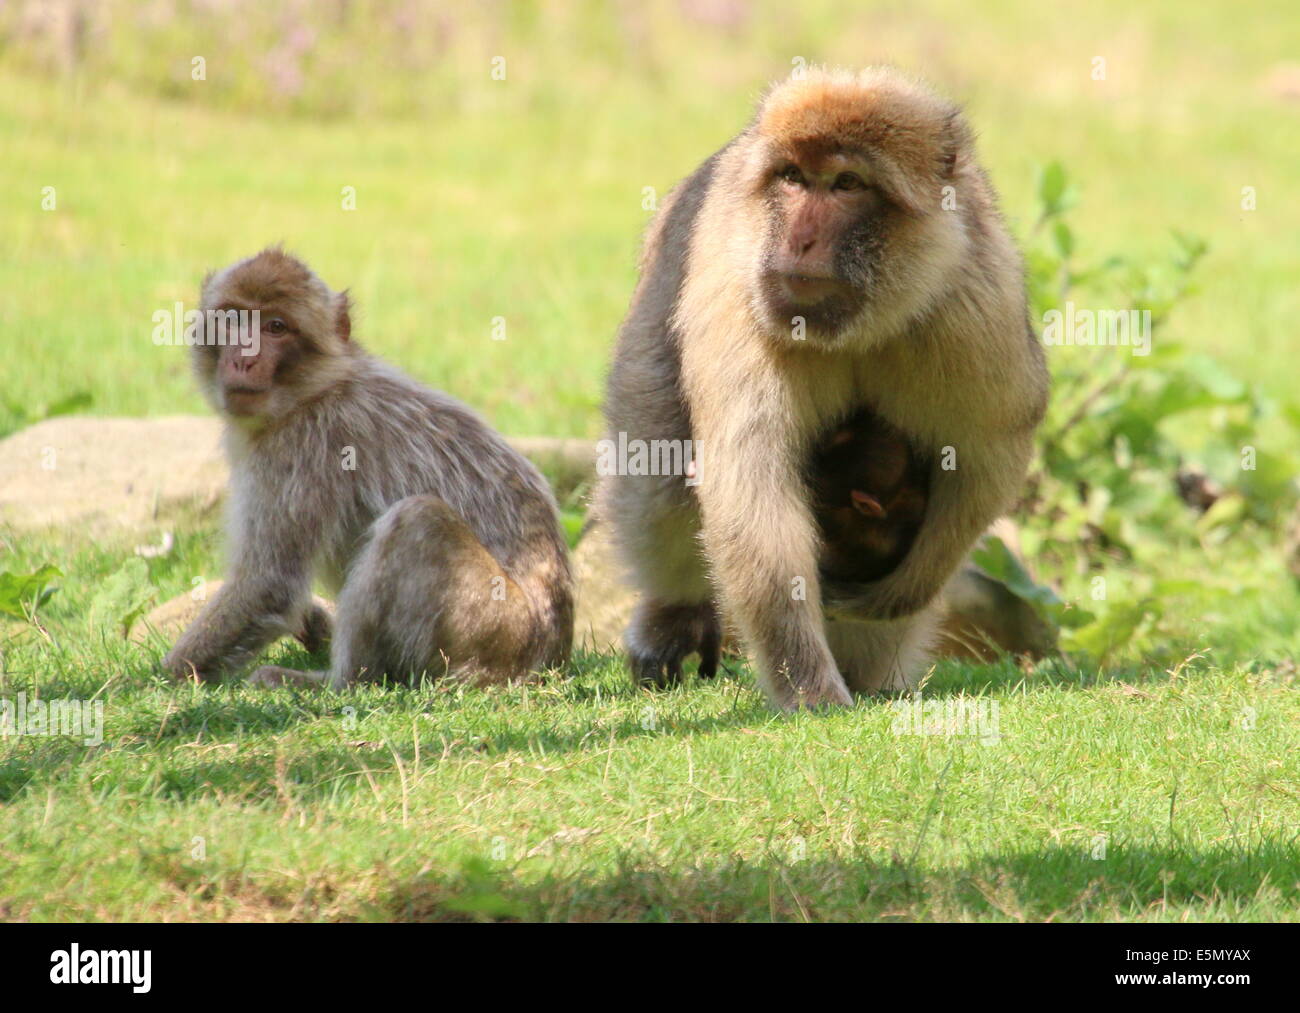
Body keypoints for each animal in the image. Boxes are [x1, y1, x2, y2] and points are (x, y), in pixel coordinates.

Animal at [162, 248, 574, 689]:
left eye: (275, 327)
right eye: (234, 319)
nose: (244, 358)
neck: (311, 391)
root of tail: (553, 653)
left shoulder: (300, 446)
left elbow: (267, 585)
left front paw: (153, 678)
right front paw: (315, 623)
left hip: (495, 630)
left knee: (417, 518)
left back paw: (336, 680)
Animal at [599, 67, 1049, 709]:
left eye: (845, 184)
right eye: (793, 178)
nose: (801, 239)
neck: (864, 323)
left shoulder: (976, 307)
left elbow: (989, 453)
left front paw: (896, 595)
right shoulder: (742, 296)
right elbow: (750, 479)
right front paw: (809, 685)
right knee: (656, 460)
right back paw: (674, 615)